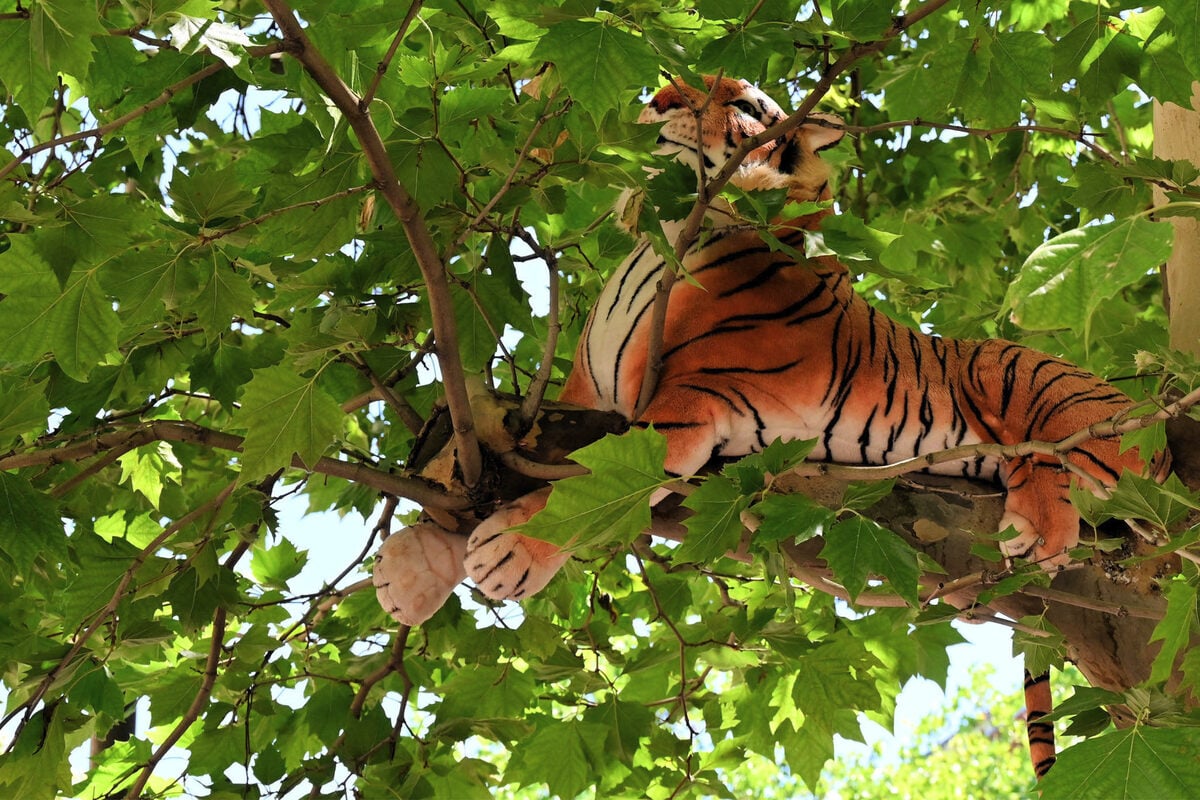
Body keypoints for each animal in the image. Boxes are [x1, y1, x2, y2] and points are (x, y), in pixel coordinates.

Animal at [376, 75, 1169, 779]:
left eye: (748, 107)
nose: (660, 100)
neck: (665, 229)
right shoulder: (577, 396)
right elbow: (494, 464)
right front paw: (414, 566)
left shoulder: (689, 400)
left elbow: (590, 484)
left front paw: (513, 548)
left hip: (1032, 378)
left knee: (1086, 463)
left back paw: (1043, 524)